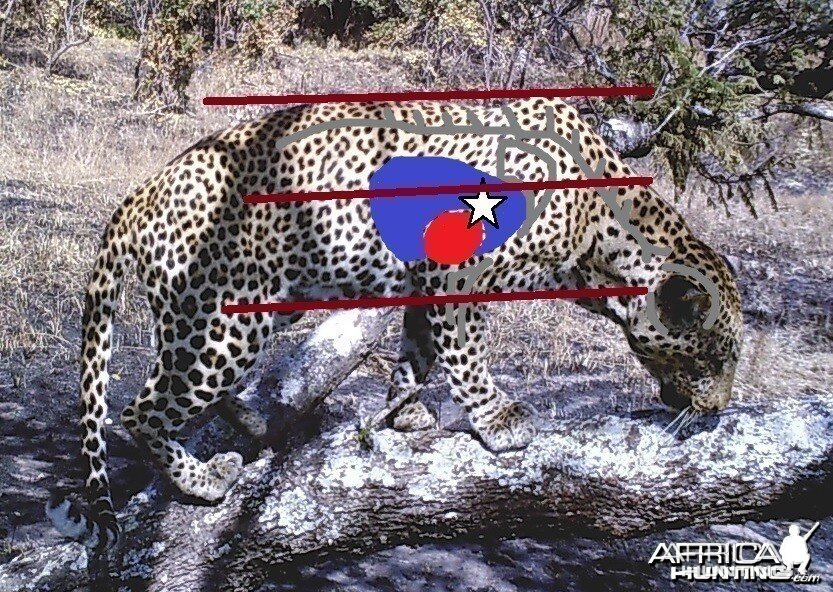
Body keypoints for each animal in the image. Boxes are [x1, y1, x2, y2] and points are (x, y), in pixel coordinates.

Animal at [46, 97, 743, 551]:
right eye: (718, 357)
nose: (718, 409)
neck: (601, 235)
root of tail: (140, 193)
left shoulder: (421, 281)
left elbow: (421, 351)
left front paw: (404, 413)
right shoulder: (457, 269)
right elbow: (466, 351)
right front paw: (499, 421)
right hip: (221, 324)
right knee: (137, 411)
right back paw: (204, 480)